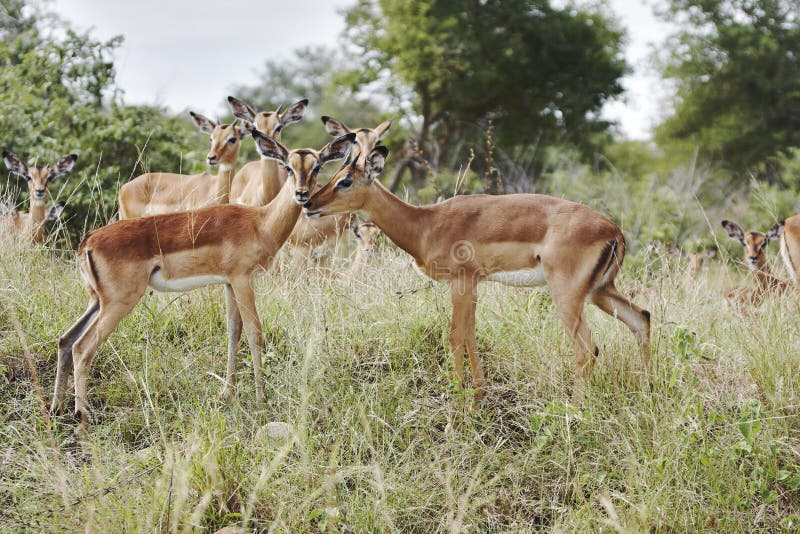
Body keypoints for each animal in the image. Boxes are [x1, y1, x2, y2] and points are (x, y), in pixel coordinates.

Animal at [52, 130, 356, 433]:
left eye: (316, 166)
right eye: (289, 166)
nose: (302, 194)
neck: (261, 222)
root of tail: (88, 242)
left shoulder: (229, 284)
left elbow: (233, 332)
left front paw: (227, 393)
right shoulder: (243, 280)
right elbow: (255, 333)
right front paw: (262, 400)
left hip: (97, 301)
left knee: (66, 340)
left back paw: (57, 409)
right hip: (118, 303)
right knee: (82, 348)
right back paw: (83, 419)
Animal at [304, 146, 651, 402]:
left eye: (345, 181)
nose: (307, 202)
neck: (426, 224)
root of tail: (613, 230)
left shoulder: (461, 282)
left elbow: (456, 336)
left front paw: (458, 407)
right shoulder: (472, 285)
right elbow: (471, 334)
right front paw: (477, 397)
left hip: (567, 295)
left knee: (587, 349)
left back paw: (573, 410)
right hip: (600, 291)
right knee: (641, 318)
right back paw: (647, 390)